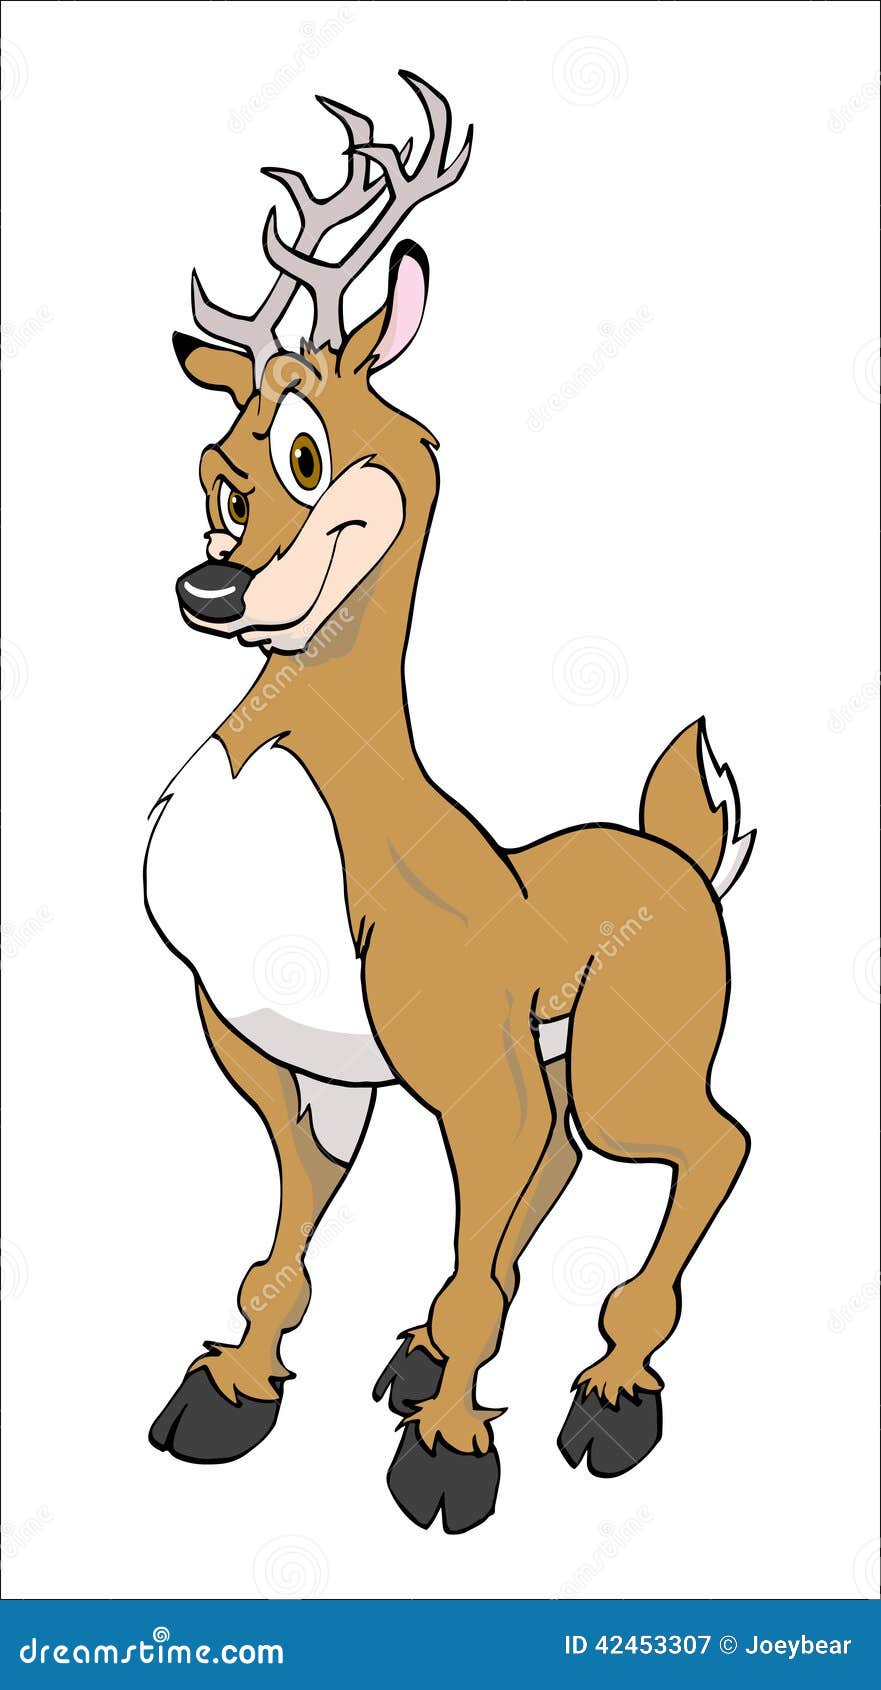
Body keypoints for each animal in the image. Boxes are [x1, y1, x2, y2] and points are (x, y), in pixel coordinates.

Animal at [144, 71, 755, 1535]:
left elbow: (480, 1252)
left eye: (310, 453)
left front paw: (449, 1457)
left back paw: (612, 1393)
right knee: (557, 1173)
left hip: (622, 1071)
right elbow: (288, 1242)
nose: (211, 591)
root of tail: (679, 855)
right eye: (219, 459)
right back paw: (421, 1348)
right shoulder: (288, 1056)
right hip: (558, 1072)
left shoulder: (465, 1065)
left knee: (709, 1145)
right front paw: (229, 1394)